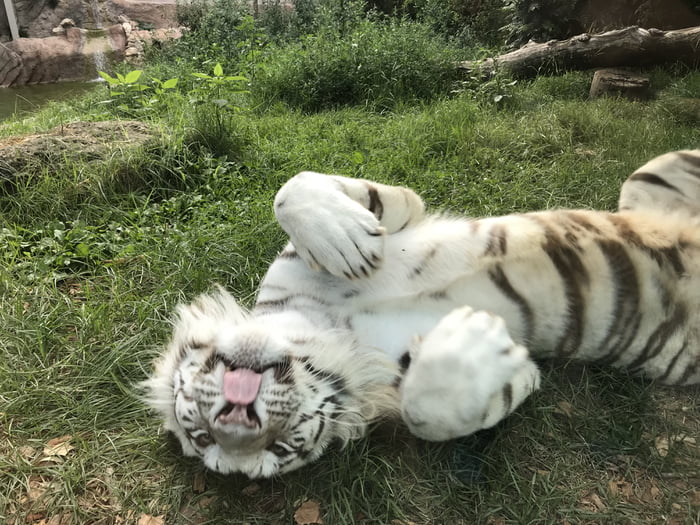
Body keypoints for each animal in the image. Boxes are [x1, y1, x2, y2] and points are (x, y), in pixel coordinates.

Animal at [144, 150, 700, 478]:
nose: (236, 421)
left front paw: (343, 239)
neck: (336, 327)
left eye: (198, 426)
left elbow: (295, 186)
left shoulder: (394, 211)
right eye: (279, 452)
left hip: (651, 172)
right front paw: (478, 340)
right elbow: (429, 411)